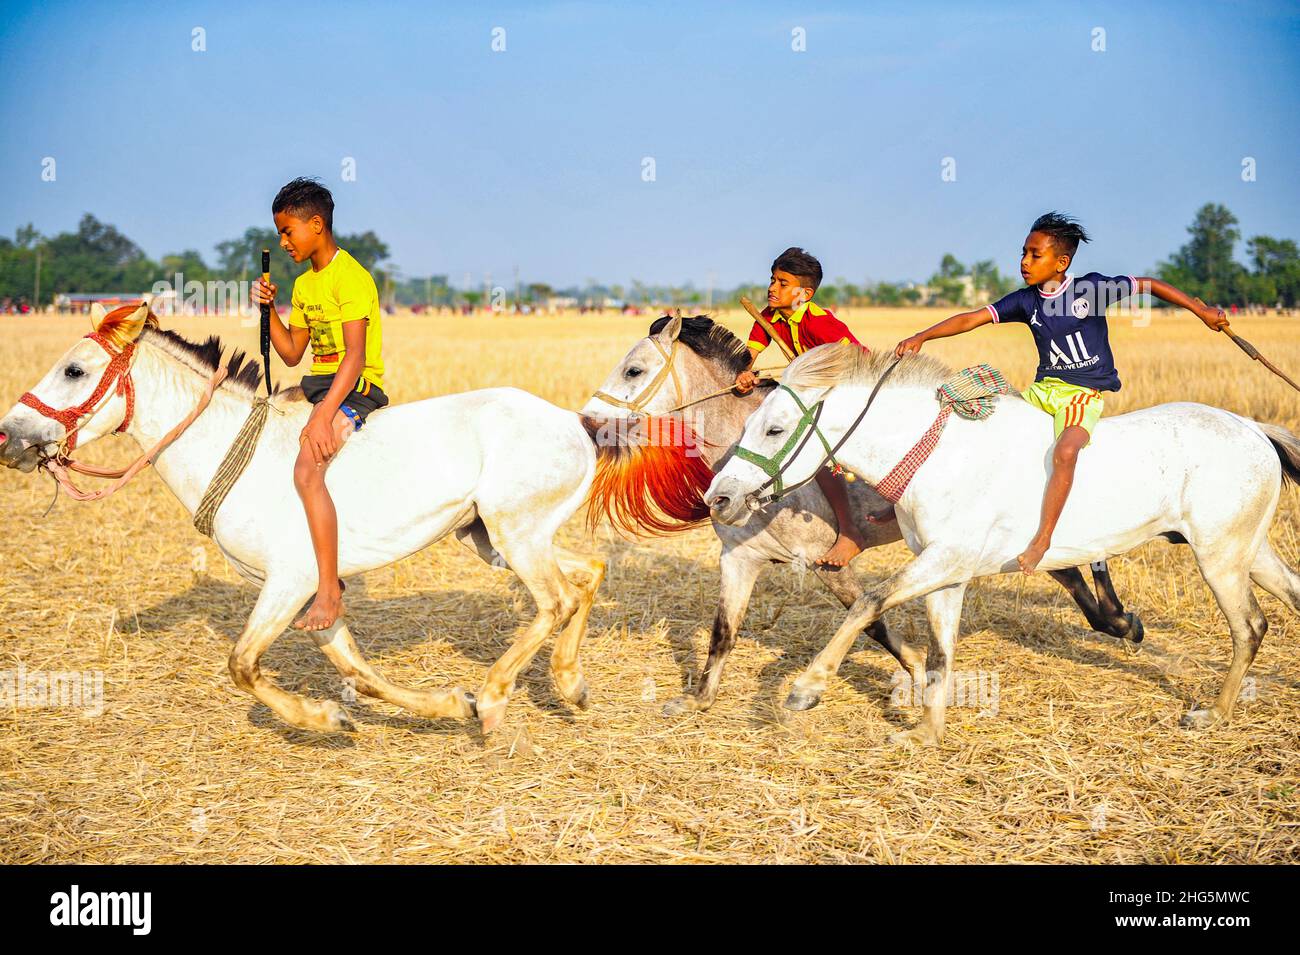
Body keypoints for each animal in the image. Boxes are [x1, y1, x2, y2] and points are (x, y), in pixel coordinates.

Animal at [0, 302, 697, 734]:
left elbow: (243, 665)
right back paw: (568, 684)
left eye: (74, 369)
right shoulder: (312, 591)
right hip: (495, 536)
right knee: (588, 573)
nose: (9, 435)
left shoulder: (292, 580)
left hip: (516, 533)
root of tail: (580, 424)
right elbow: (357, 670)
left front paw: (322, 719)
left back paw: (498, 696)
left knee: (555, 600)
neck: (230, 447)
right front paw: (445, 705)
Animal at [582, 314, 1142, 716]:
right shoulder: (739, 560)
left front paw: (910, 674)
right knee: (1066, 567)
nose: (588, 421)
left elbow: (872, 622)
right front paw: (696, 698)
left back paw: (1119, 619)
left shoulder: (825, 562)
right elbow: (724, 631)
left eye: (633, 370)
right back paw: (1117, 619)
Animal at [705, 342, 1300, 744]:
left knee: (1250, 627)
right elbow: (939, 652)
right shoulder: (945, 573)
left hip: (1220, 558)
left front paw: (807, 687)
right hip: (1250, 552)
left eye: (775, 429)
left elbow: (868, 603)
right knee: (1286, 598)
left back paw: (1214, 713)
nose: (718, 497)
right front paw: (926, 733)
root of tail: (1253, 428)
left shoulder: (946, 558)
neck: (933, 455)